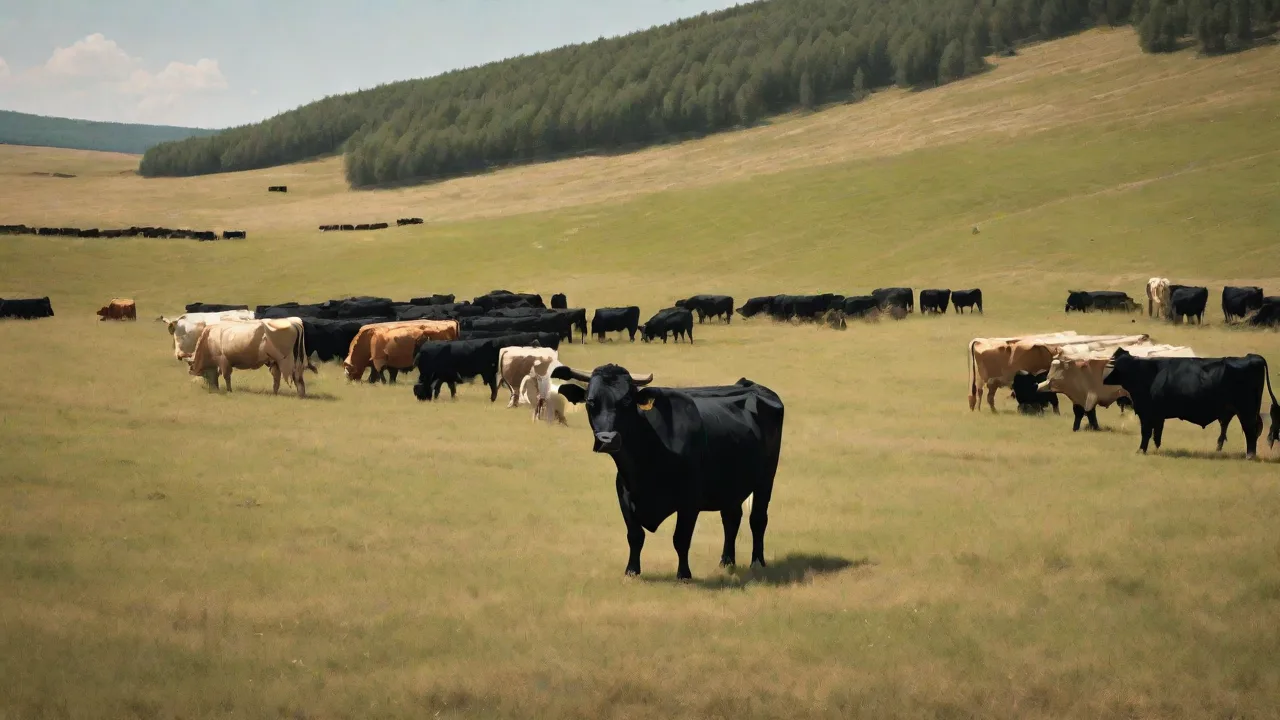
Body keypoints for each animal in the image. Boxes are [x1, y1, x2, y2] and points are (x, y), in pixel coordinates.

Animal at [551, 364, 784, 580]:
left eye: (626, 400)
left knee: (757, 519)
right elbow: (635, 535)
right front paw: (632, 571)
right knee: (731, 518)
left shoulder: (690, 499)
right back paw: (726, 561)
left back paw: (757, 562)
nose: (608, 439)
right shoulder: (623, 493)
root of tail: (749, 385)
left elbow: (681, 538)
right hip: (731, 484)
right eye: (591, 402)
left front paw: (684, 574)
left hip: (766, 477)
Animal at [1102, 347, 1280, 458]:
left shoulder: (1147, 413)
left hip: (1246, 410)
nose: (1104, 380)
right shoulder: (1158, 415)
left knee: (1250, 430)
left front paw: (1141, 450)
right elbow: (1157, 433)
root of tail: (1252, 357)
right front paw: (1156, 448)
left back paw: (1250, 455)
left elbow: (1146, 432)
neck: (1145, 373)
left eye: (1116, 367)